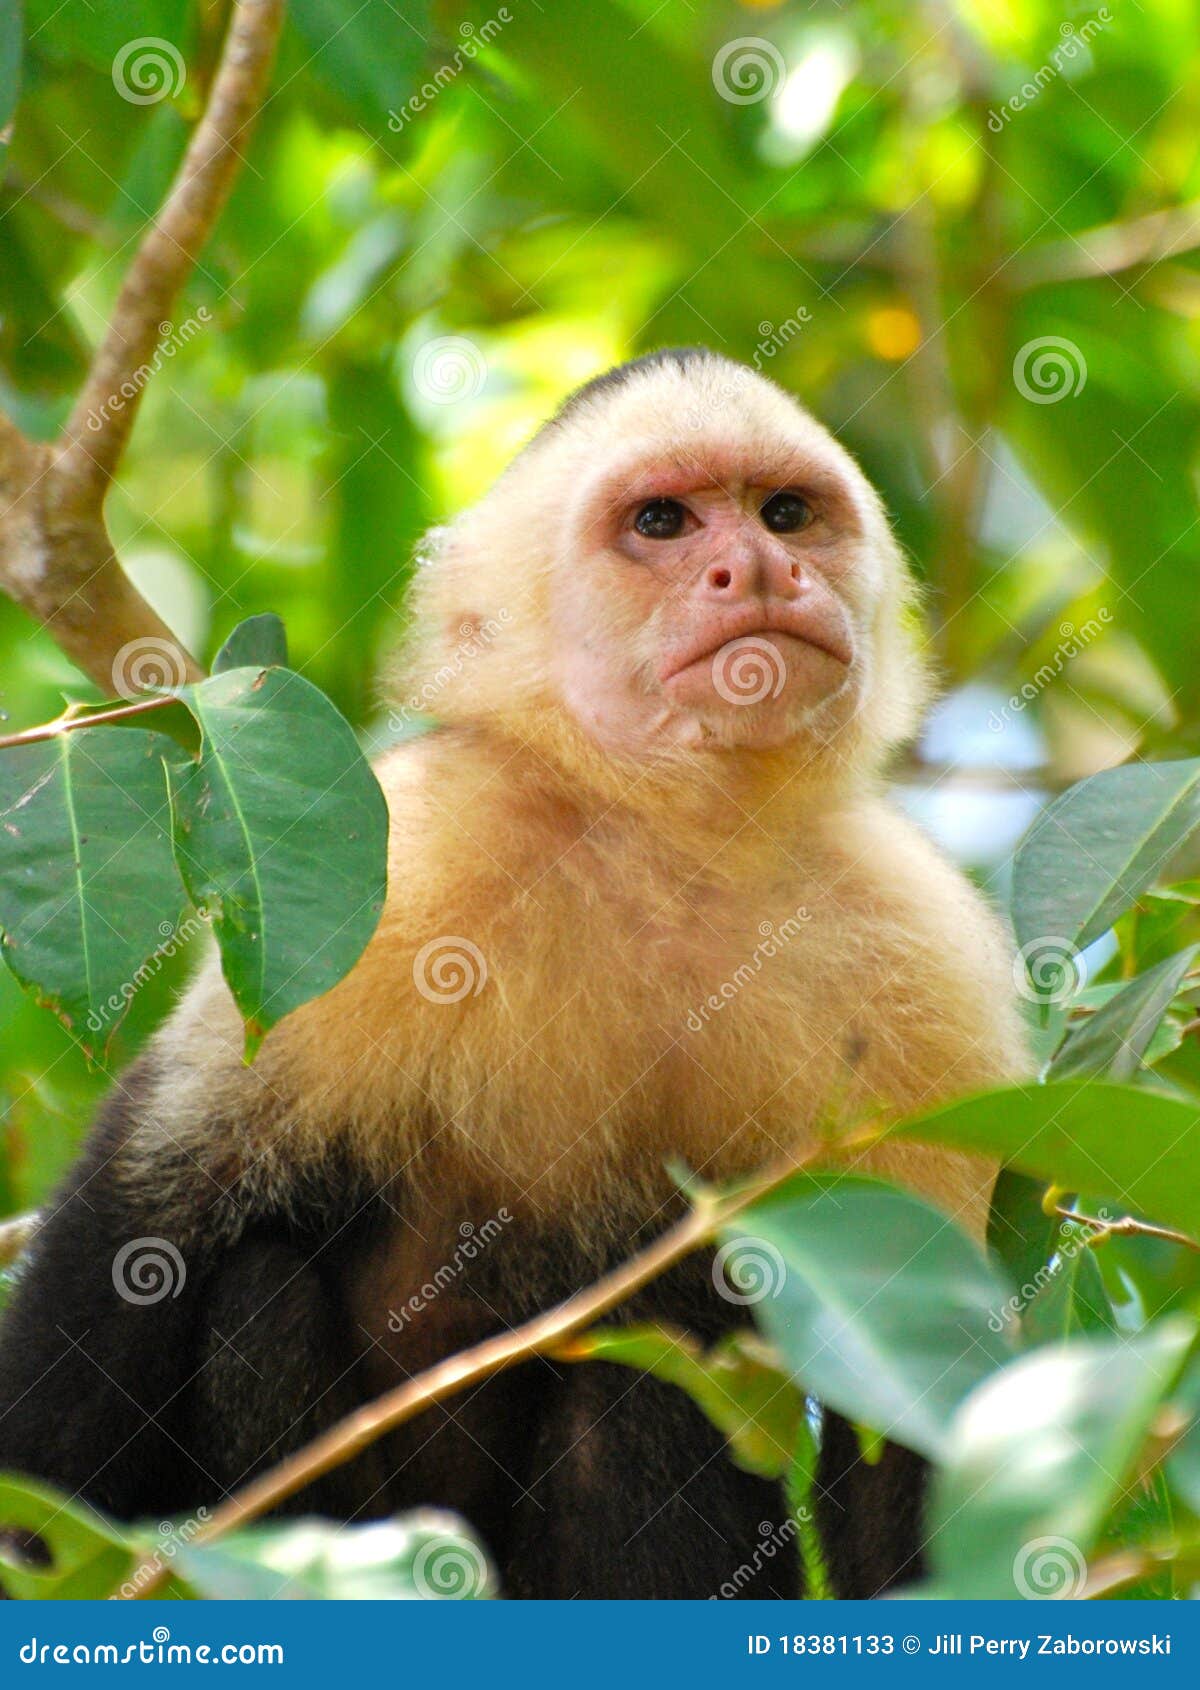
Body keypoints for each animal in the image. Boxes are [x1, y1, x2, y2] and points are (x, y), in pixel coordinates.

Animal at [0, 348, 1026, 1600]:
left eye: (787, 513)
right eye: (662, 522)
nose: (758, 568)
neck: (671, 842)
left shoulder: (926, 965)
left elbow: (916, 1404)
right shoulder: (407, 856)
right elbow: (147, 1224)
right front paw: (39, 1556)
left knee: (651, 1353)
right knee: (257, 1293)